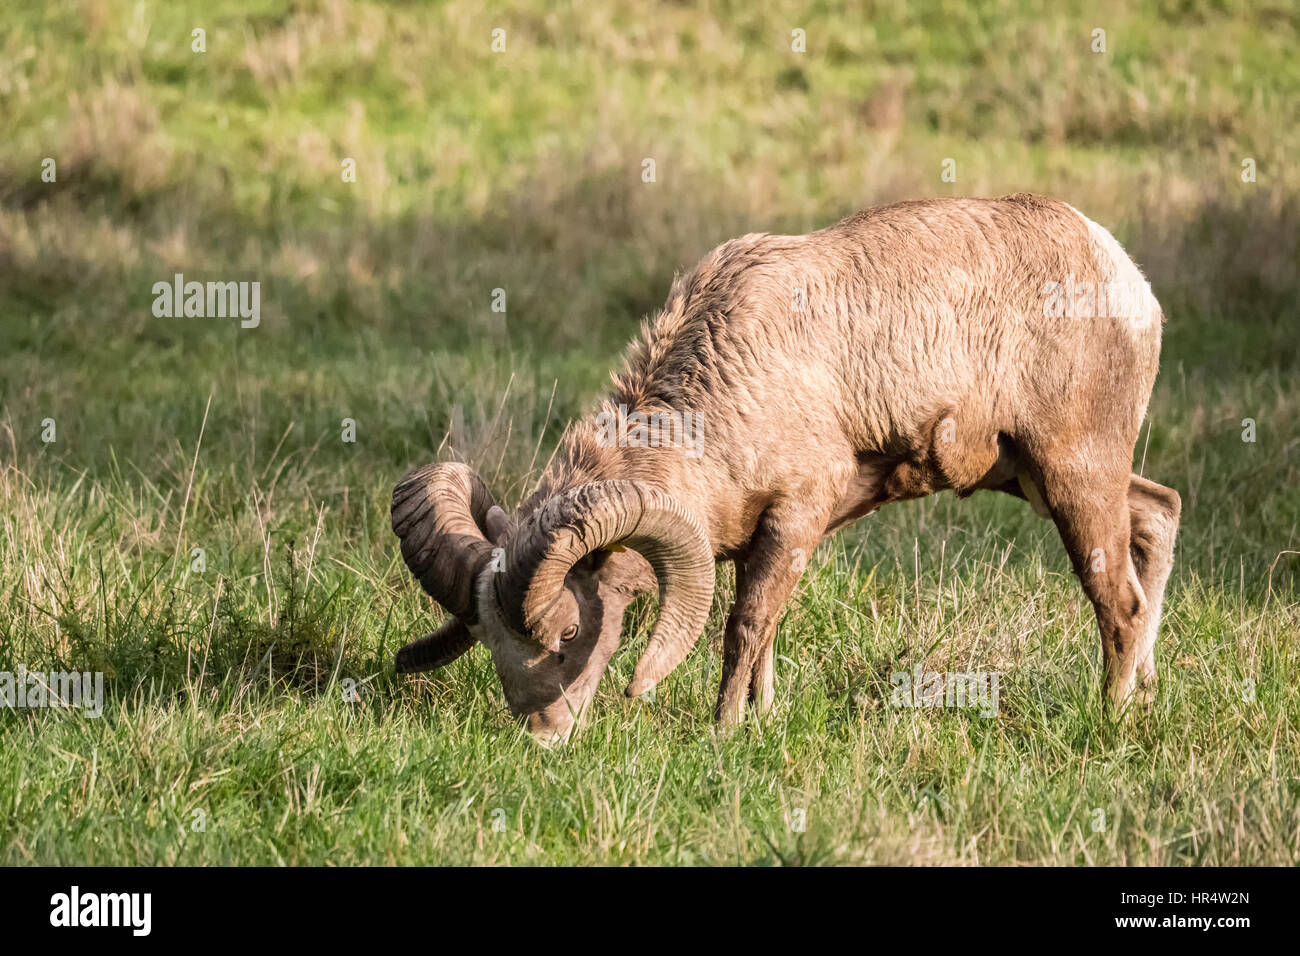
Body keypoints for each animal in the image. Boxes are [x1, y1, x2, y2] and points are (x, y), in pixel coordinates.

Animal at [392, 193, 1182, 741]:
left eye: (563, 638)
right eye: (490, 644)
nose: (544, 734)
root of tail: (1128, 279)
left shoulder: (795, 517)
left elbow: (745, 626)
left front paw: (723, 731)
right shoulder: (761, 538)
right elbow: (766, 631)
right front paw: (761, 718)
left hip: (1075, 477)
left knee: (1118, 600)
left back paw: (1113, 717)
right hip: (1043, 480)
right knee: (1158, 515)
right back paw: (1145, 695)